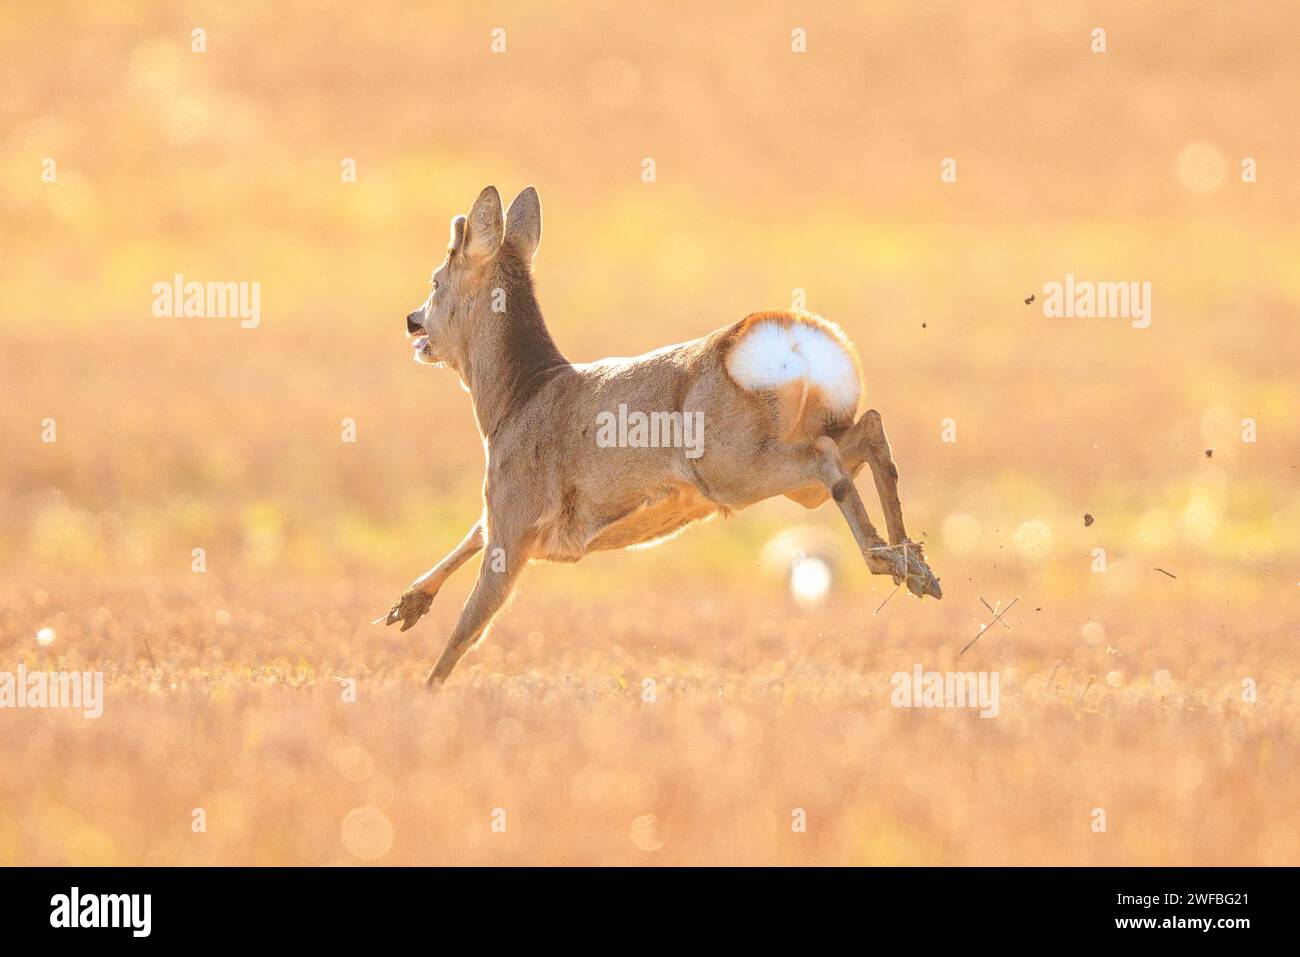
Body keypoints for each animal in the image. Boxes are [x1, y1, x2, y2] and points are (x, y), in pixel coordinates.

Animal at [379, 186, 942, 686]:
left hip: (732, 469)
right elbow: (470, 533)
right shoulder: (503, 516)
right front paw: (407, 603)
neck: (515, 399)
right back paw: (913, 560)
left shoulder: (514, 519)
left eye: (435, 281)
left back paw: (888, 560)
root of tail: (792, 338)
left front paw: (425, 693)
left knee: (828, 460)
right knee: (870, 432)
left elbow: (467, 629)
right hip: (800, 461)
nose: (411, 322)